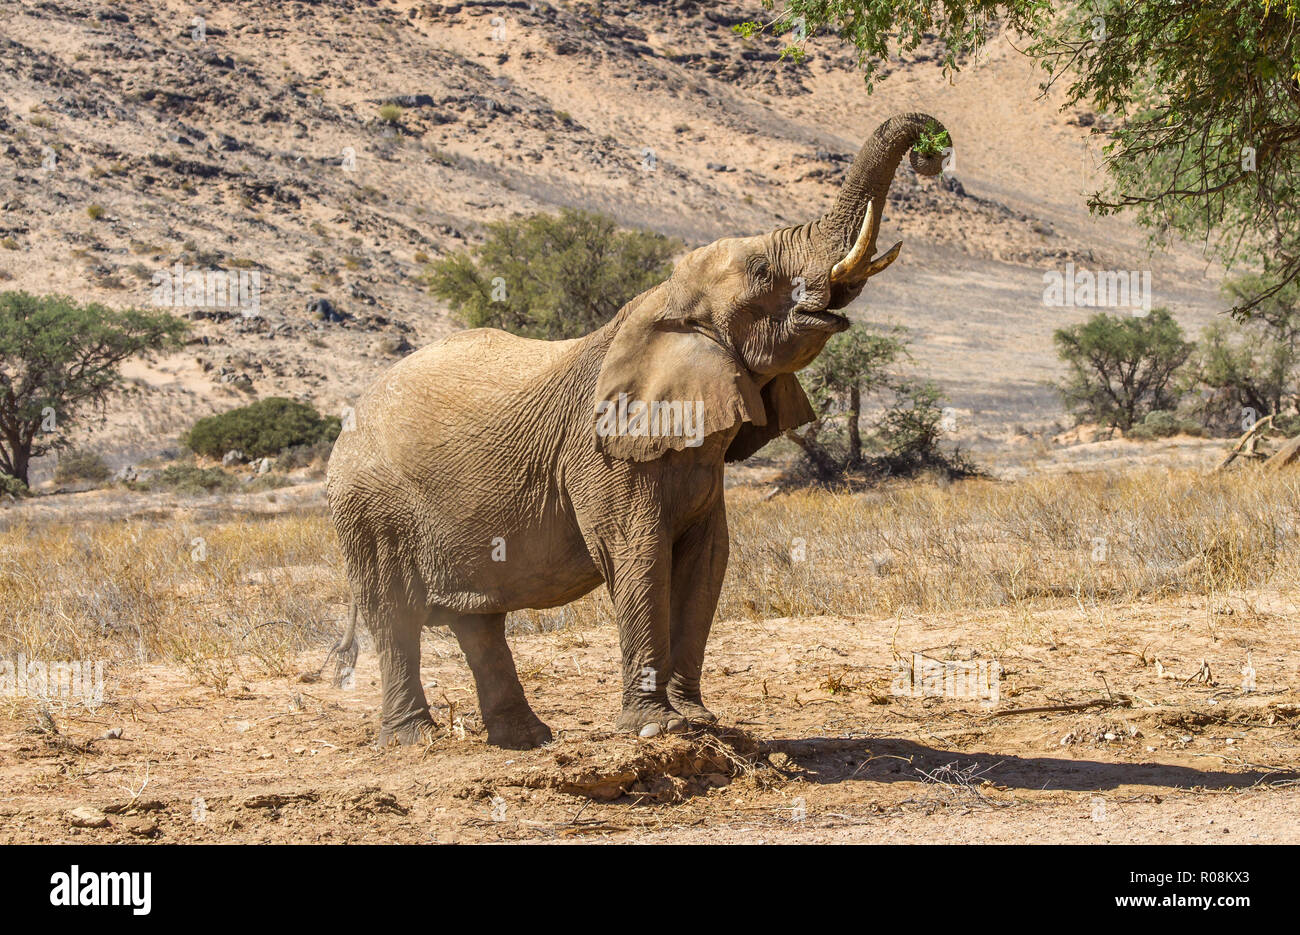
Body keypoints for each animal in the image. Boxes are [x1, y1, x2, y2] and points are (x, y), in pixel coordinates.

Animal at [327, 112, 948, 748]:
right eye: (761, 272)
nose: (932, 151)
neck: (660, 302)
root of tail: (350, 418)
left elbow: (708, 560)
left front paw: (697, 719)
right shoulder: (601, 453)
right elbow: (638, 554)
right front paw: (655, 730)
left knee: (477, 620)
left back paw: (528, 739)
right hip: (367, 508)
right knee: (394, 613)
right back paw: (414, 740)